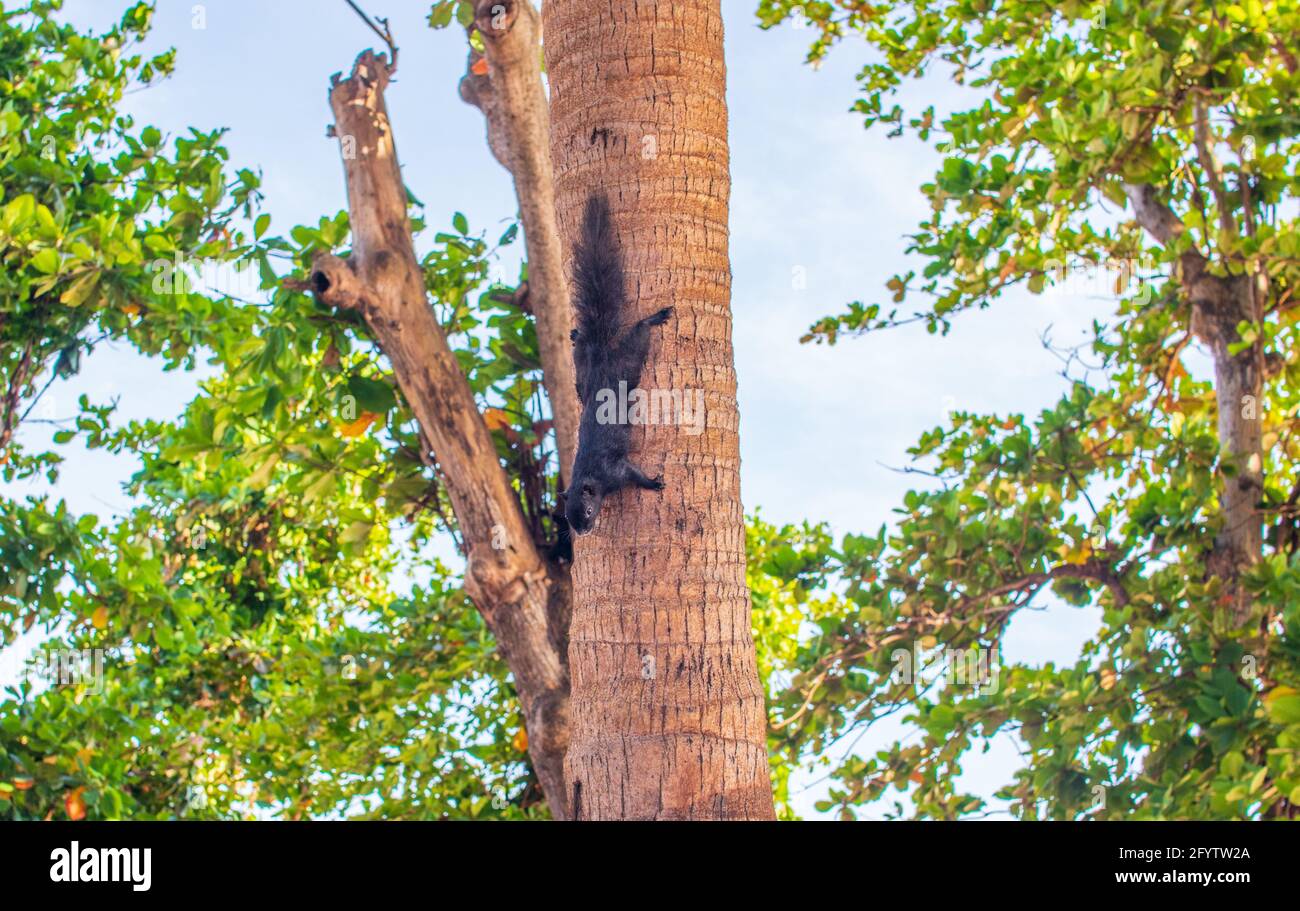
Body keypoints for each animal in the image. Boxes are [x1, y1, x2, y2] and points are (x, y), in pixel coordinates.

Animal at [561, 194, 673, 539]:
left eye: (586, 511)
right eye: (567, 518)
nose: (583, 532)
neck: (589, 478)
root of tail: (600, 356)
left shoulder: (614, 469)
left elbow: (634, 474)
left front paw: (654, 483)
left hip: (627, 363)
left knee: (639, 333)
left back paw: (655, 318)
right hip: (583, 369)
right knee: (580, 359)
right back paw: (576, 336)